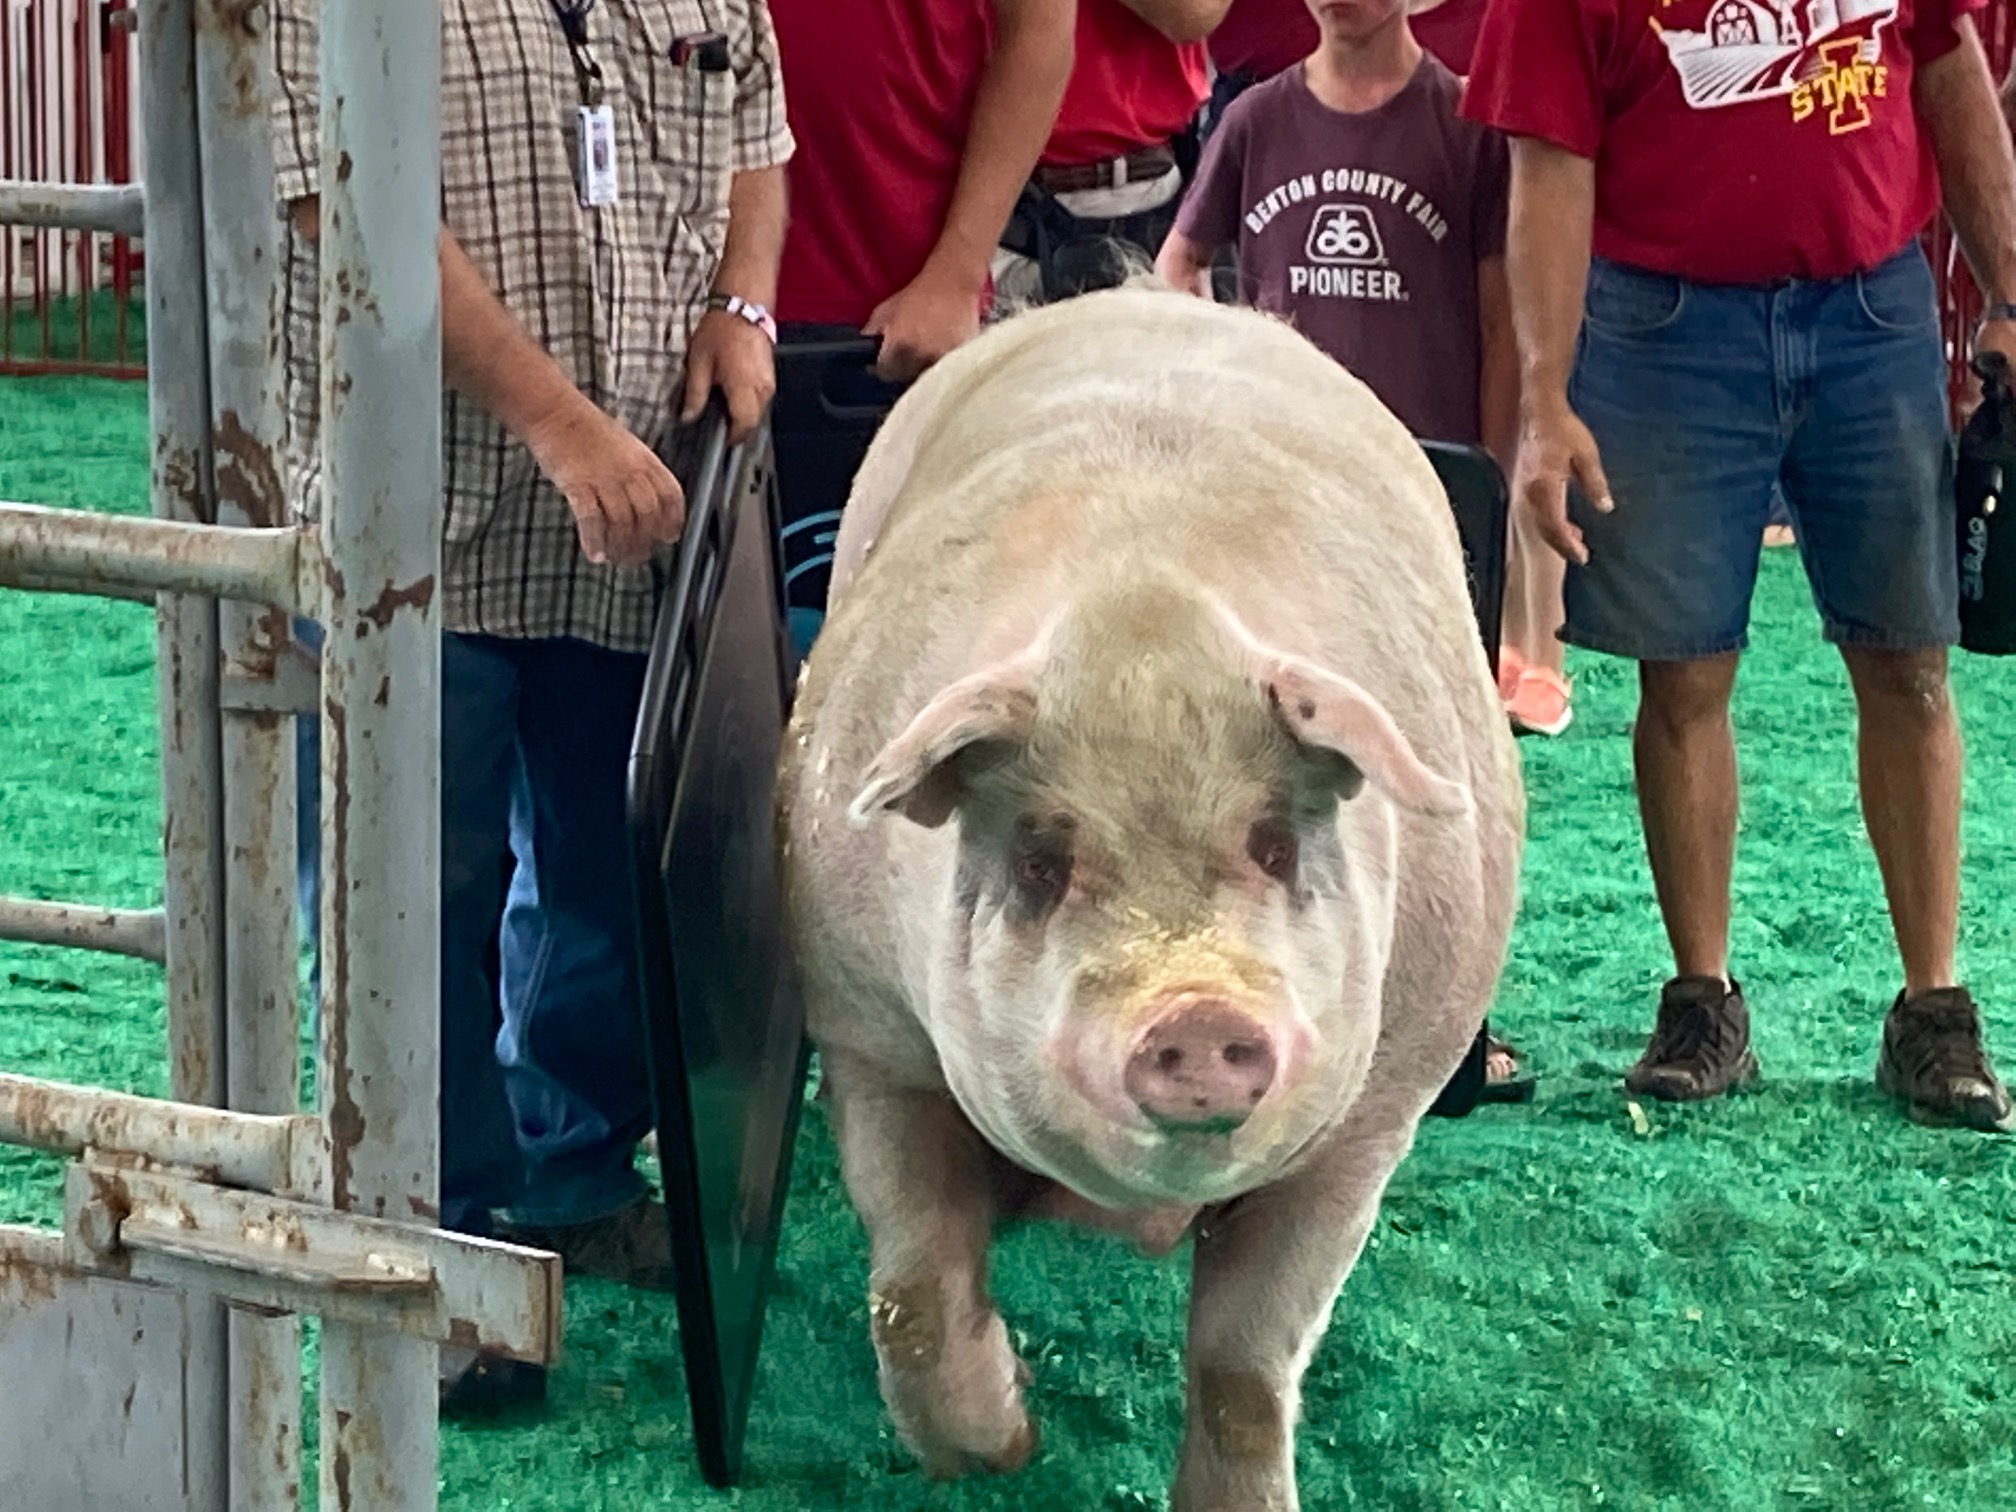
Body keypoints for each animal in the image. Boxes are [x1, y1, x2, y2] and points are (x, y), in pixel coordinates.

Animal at [775, 279, 1524, 1512]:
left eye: (1275, 843)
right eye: (1042, 863)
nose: (1199, 1012)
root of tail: (1146, 288)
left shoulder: (1377, 1113)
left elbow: (1243, 1365)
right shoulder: (866, 1030)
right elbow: (913, 1290)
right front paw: (1013, 1443)